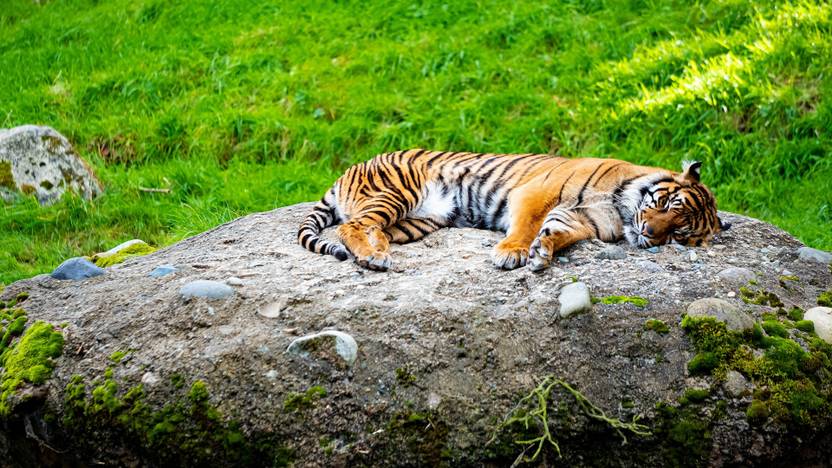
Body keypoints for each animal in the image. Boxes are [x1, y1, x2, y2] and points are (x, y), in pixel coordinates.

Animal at [297, 149, 729, 272]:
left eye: (679, 234)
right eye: (666, 204)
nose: (651, 234)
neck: (621, 209)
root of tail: (350, 168)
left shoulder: (581, 219)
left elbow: (559, 232)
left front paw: (543, 252)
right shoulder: (537, 192)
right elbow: (526, 224)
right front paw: (514, 252)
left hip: (419, 220)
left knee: (369, 229)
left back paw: (377, 252)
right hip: (396, 193)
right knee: (349, 227)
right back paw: (373, 258)